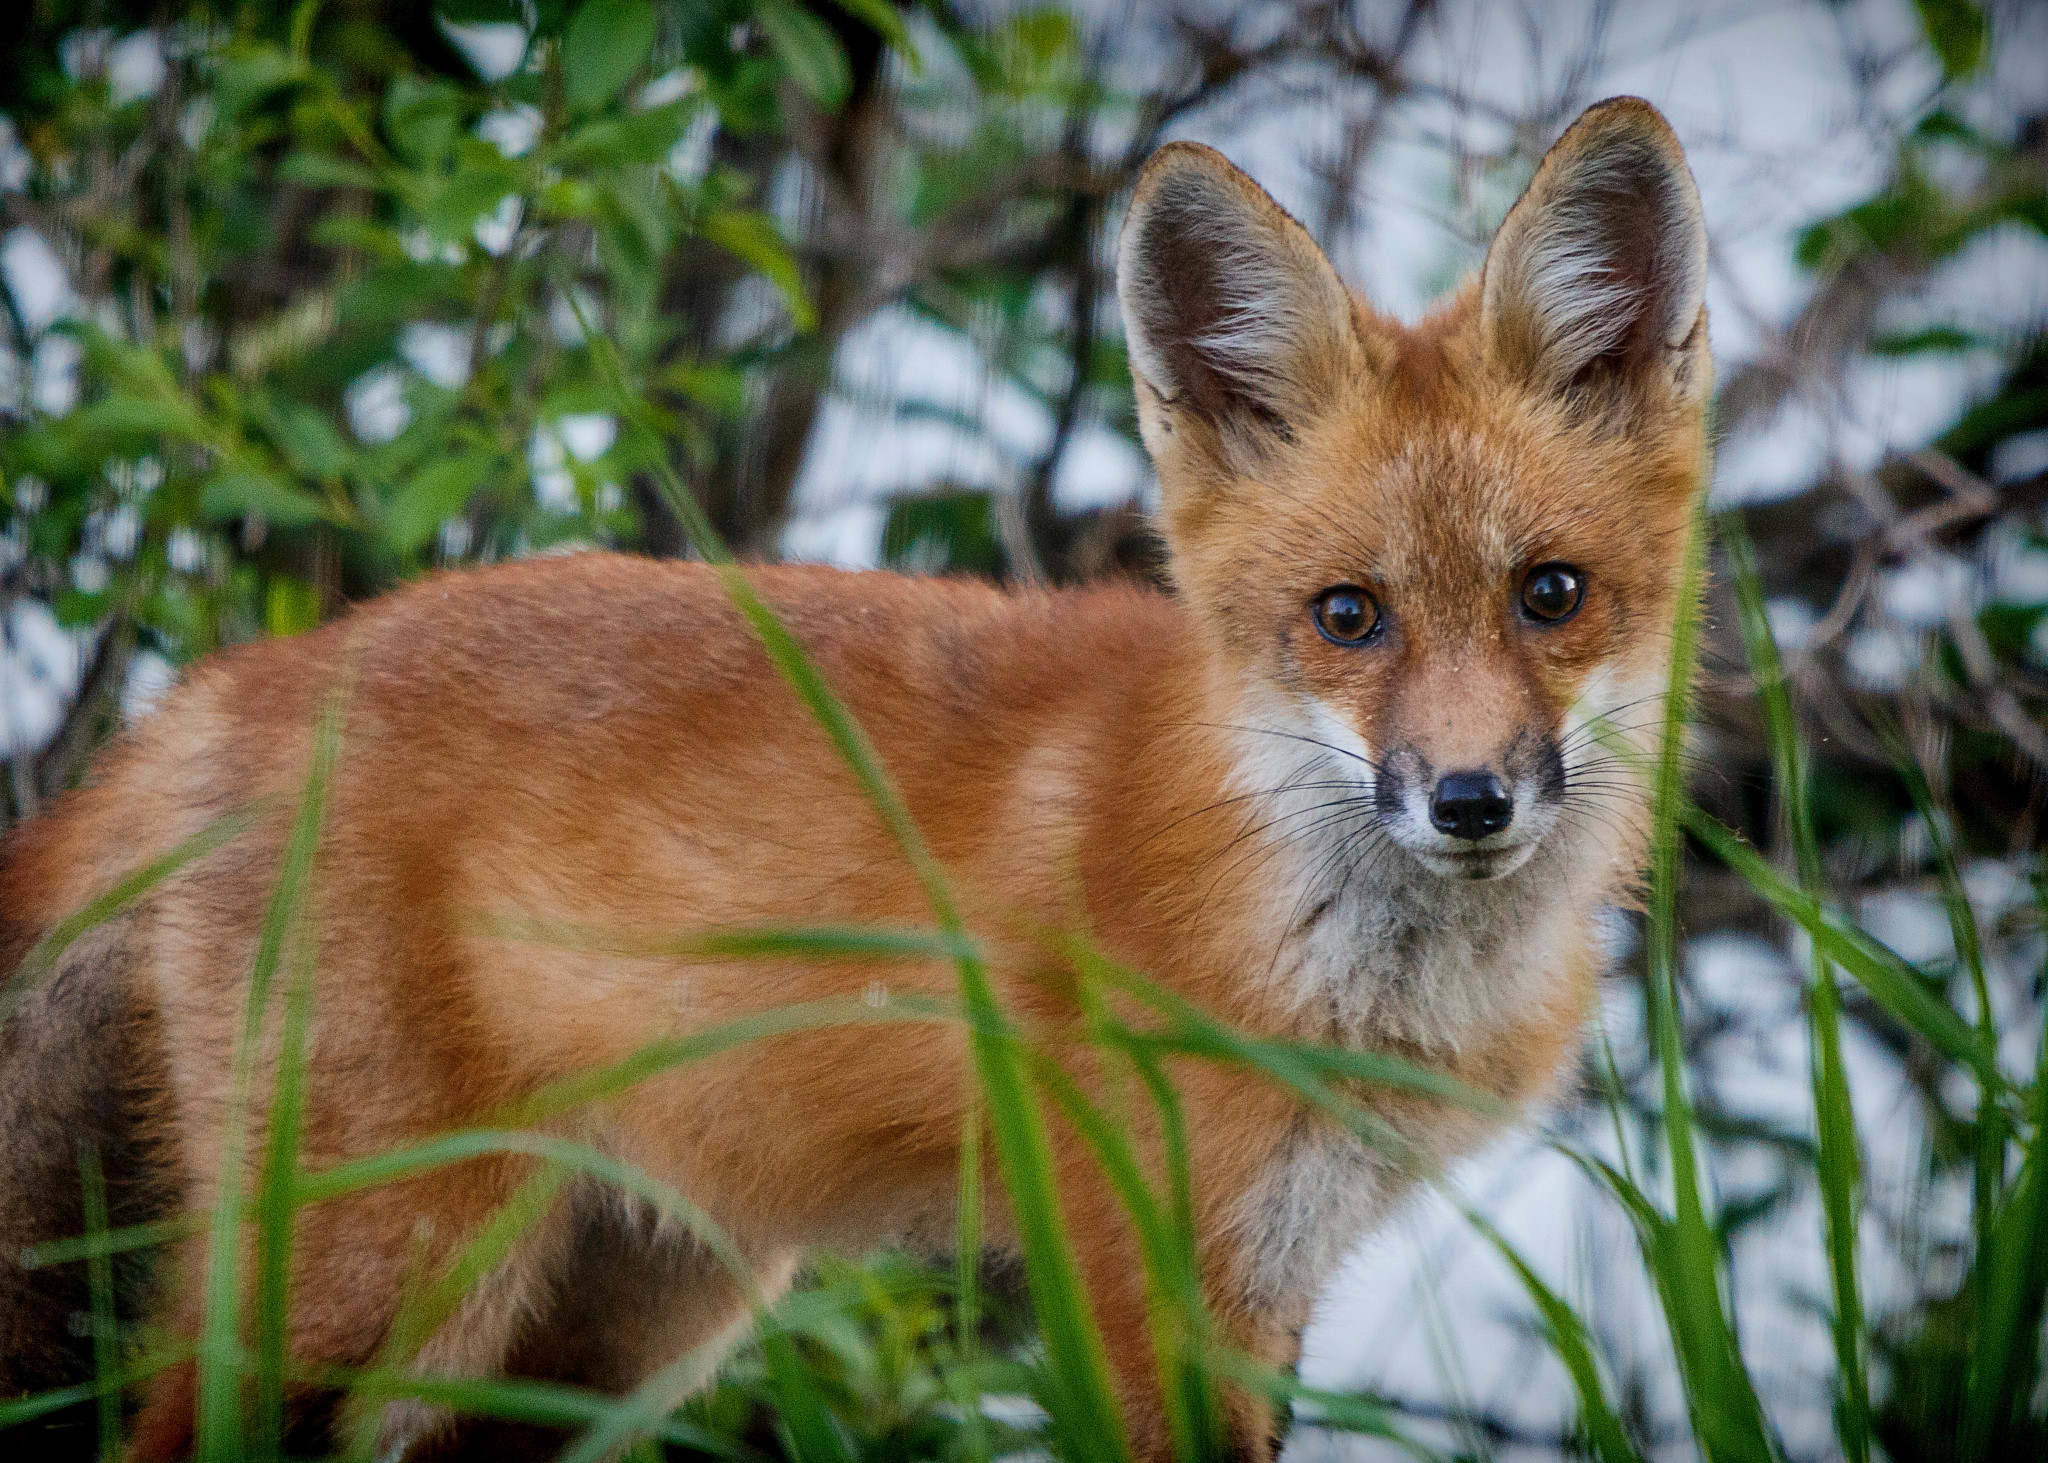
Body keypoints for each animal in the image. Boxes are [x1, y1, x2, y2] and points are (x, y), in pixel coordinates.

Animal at [0, 95, 1710, 1461]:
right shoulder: (1144, 1270)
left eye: (1550, 594)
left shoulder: (1273, 1281)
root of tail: (230, 681)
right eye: (1348, 616)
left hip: (606, 1331)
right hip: (368, 1281)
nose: (1470, 799)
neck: (1340, 971)